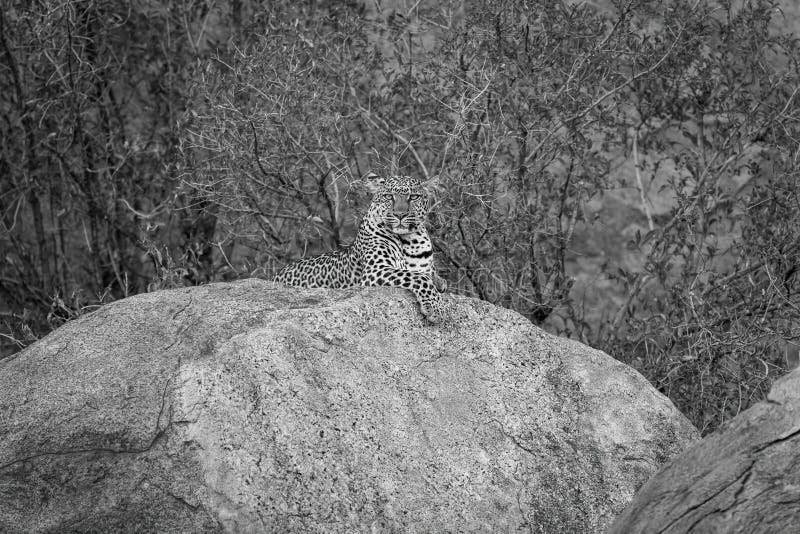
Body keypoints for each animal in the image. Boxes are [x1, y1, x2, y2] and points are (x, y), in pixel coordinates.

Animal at [274, 172, 447, 323]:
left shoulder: (422, 266)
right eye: (388, 196)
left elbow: (428, 275)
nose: (400, 214)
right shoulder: (375, 270)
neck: (409, 241)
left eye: (414, 197)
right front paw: (435, 308)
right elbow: (419, 278)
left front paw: (440, 284)